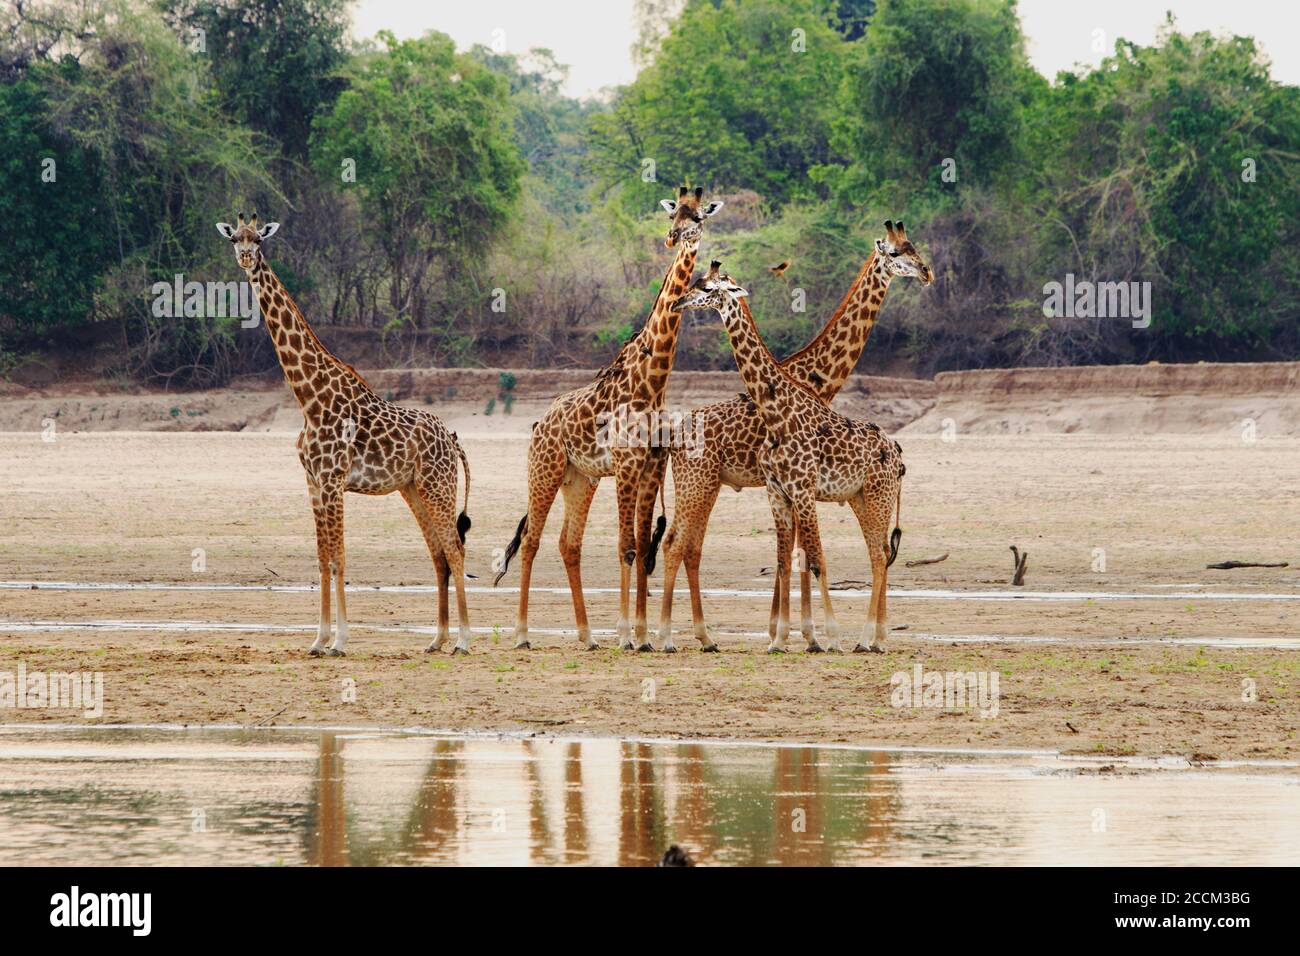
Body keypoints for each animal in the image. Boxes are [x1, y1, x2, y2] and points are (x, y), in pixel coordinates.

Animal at [216, 213, 473, 656]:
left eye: (259, 240)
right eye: (234, 238)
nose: (247, 258)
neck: (308, 397)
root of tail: (453, 439)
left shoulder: (334, 481)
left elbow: (339, 559)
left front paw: (339, 640)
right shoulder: (313, 481)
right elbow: (322, 558)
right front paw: (318, 639)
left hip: (439, 486)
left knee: (454, 550)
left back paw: (463, 640)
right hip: (413, 489)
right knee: (439, 553)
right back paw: (436, 639)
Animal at [492, 186, 723, 651]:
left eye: (698, 218)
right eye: (674, 213)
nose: (673, 238)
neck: (653, 380)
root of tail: (538, 423)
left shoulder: (652, 465)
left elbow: (641, 543)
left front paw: (643, 634)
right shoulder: (626, 464)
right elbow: (626, 547)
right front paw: (626, 635)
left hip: (580, 479)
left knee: (569, 544)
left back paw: (585, 635)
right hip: (544, 469)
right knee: (531, 541)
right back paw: (523, 634)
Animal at [658, 221, 931, 651]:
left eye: (910, 248)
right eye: (896, 252)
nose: (926, 272)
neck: (813, 378)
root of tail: (673, 435)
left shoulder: (798, 489)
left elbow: (799, 557)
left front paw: (799, 633)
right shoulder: (785, 488)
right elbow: (797, 557)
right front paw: (798, 634)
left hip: (714, 485)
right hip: (698, 482)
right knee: (676, 544)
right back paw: (664, 636)